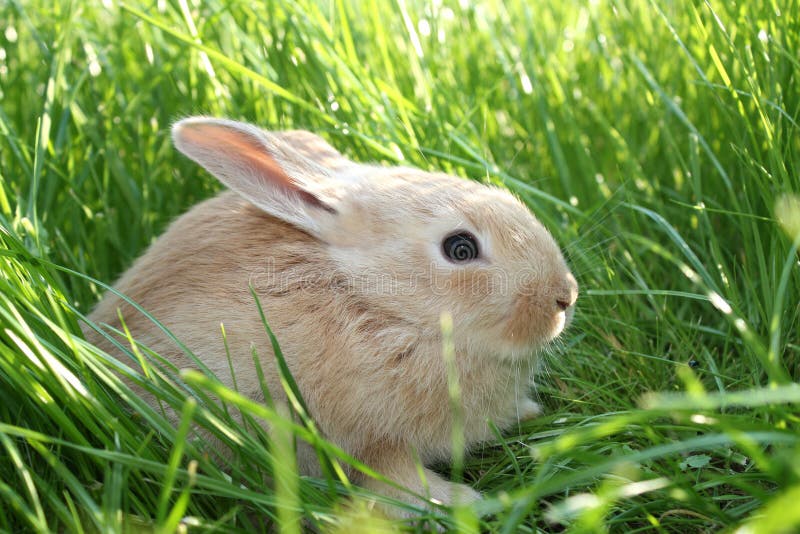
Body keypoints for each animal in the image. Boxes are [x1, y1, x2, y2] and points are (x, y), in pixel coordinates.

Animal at [85, 117, 578, 517]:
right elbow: (397, 482)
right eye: (460, 248)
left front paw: (527, 412)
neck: (377, 304)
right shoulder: (372, 442)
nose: (565, 297)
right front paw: (463, 502)